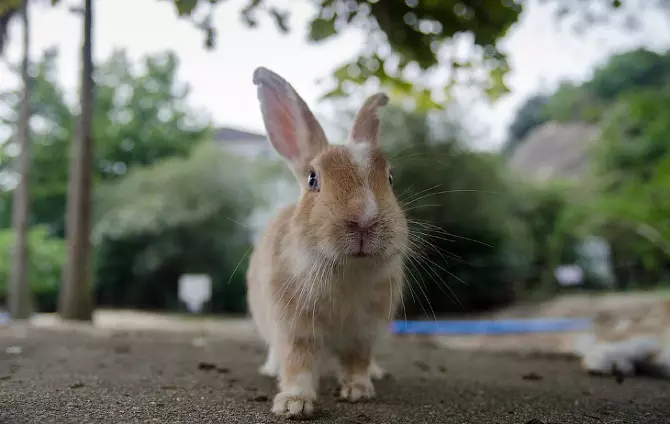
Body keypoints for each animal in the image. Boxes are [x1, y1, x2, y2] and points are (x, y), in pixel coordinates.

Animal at [247, 67, 410, 418]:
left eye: (390, 178)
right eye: (312, 179)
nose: (364, 220)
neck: (347, 270)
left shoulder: (365, 331)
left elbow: (358, 361)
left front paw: (358, 391)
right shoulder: (294, 328)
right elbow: (297, 363)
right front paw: (294, 403)